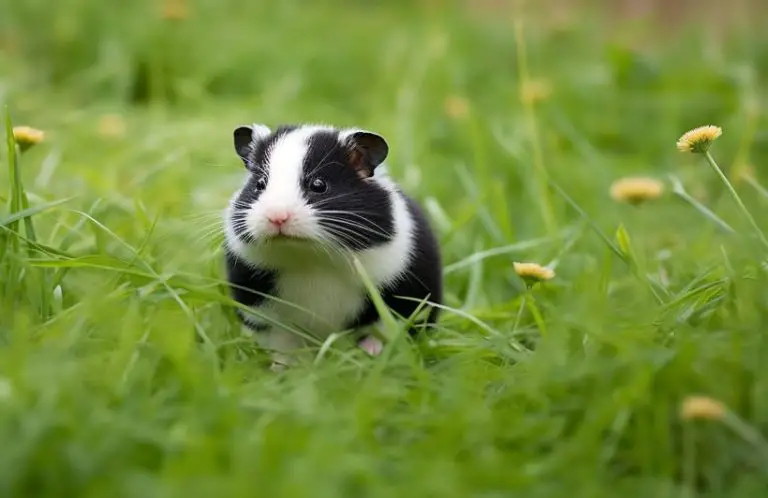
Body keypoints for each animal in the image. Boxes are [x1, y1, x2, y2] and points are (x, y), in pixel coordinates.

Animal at [223, 123, 443, 368]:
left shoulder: (402, 293)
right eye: (259, 184)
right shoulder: (258, 305)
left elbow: (383, 329)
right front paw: (286, 368)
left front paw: (370, 356)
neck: (311, 258)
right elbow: (282, 341)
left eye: (319, 185)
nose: (277, 218)